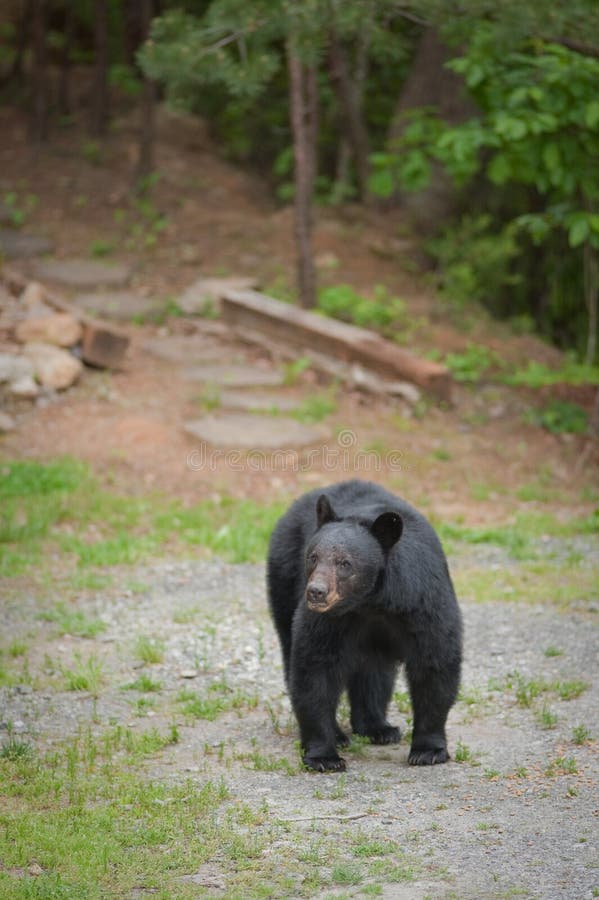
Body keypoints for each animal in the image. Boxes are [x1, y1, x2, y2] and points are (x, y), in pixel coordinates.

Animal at [267, 479, 462, 772]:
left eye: (345, 563)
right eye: (313, 556)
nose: (316, 592)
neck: (372, 602)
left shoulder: (423, 603)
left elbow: (434, 664)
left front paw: (428, 750)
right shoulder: (328, 619)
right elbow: (315, 669)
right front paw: (324, 755)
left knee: (374, 672)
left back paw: (377, 727)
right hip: (285, 576)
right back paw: (345, 733)